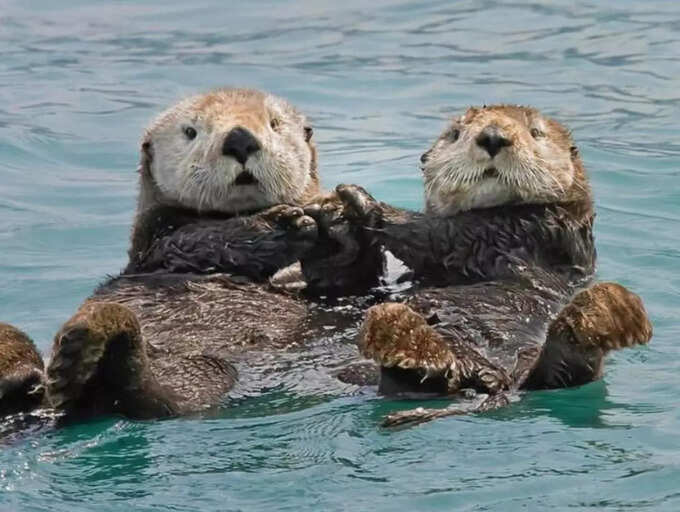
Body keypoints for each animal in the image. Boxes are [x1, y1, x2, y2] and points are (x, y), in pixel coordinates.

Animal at [0, 88, 383, 422]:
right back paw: (85, 355)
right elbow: (203, 242)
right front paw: (283, 225)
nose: (240, 139)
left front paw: (338, 219)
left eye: (274, 123)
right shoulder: (159, 240)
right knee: (158, 401)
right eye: (191, 131)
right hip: (194, 367)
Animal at [334, 105, 652, 426]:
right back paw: (403, 336)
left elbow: (435, 235)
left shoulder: (522, 231)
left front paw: (359, 199)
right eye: (456, 133)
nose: (493, 137)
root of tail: (496, 383)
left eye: (536, 132)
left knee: (566, 374)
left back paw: (604, 316)